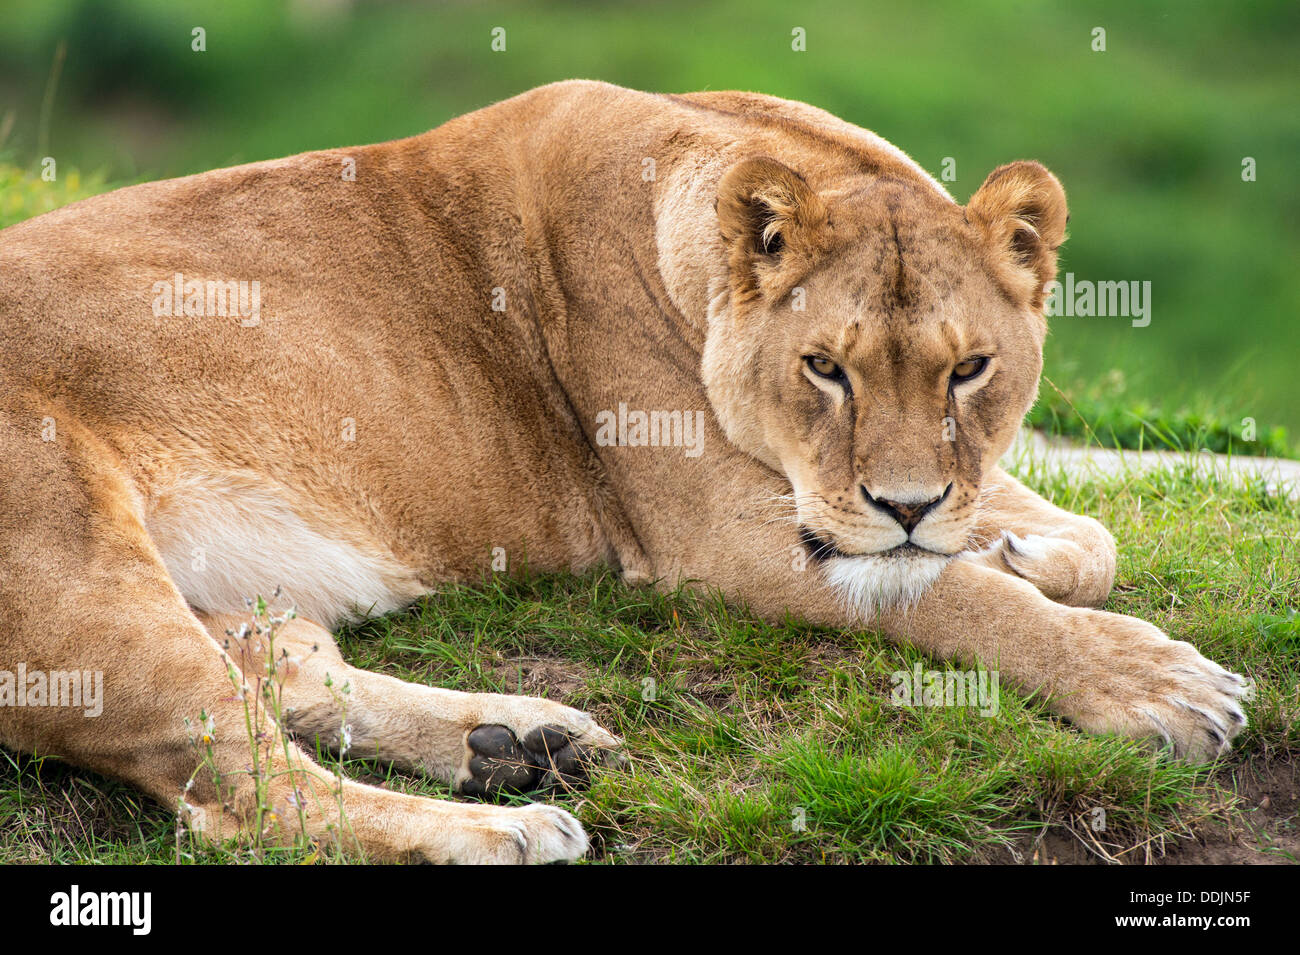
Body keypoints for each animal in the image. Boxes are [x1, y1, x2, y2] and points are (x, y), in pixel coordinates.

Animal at [0, 80, 1248, 863]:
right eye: (824, 368)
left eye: (970, 368)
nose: (903, 504)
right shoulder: (723, 539)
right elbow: (952, 594)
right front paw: (1152, 683)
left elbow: (1079, 541)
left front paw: (1028, 543)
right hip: (81, 567)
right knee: (246, 798)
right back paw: (507, 828)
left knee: (285, 673)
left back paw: (519, 744)